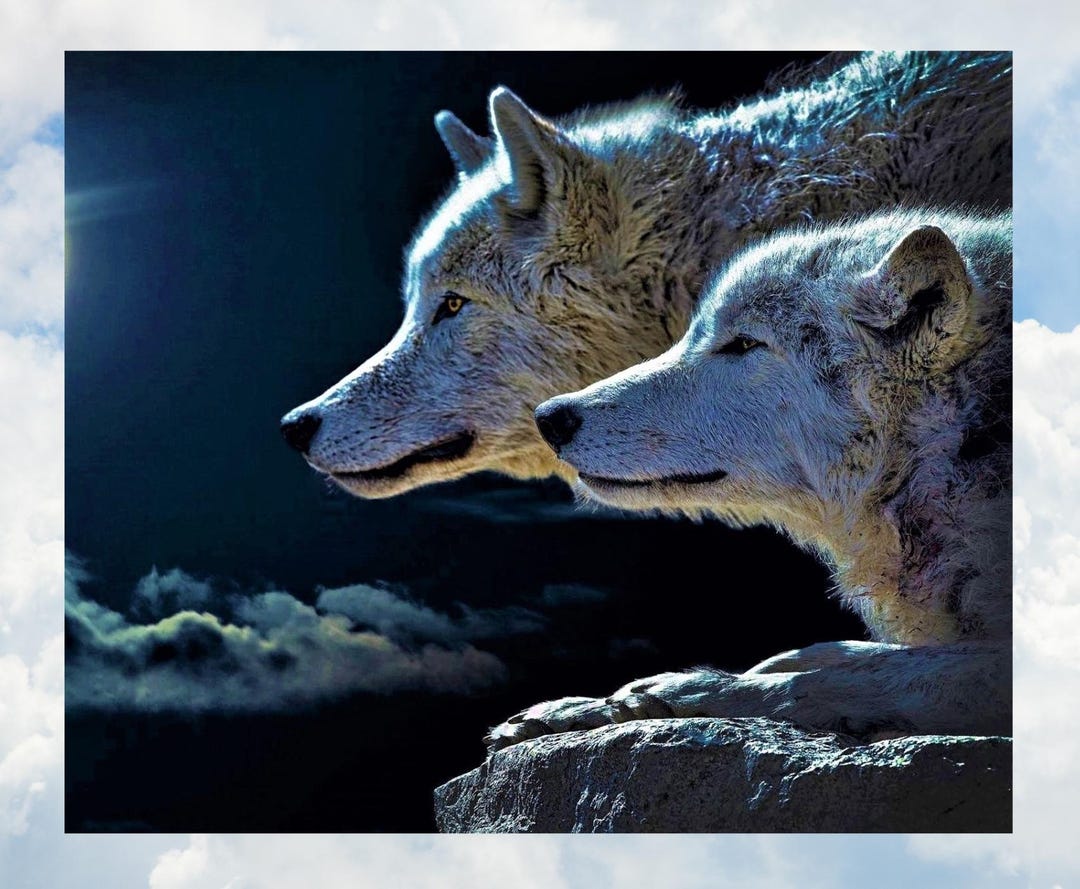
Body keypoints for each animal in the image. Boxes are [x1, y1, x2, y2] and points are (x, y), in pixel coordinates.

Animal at [488, 208, 1011, 750]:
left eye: (743, 344)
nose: (550, 417)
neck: (958, 450)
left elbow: (838, 679)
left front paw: (683, 692)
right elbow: (839, 655)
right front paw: (580, 708)